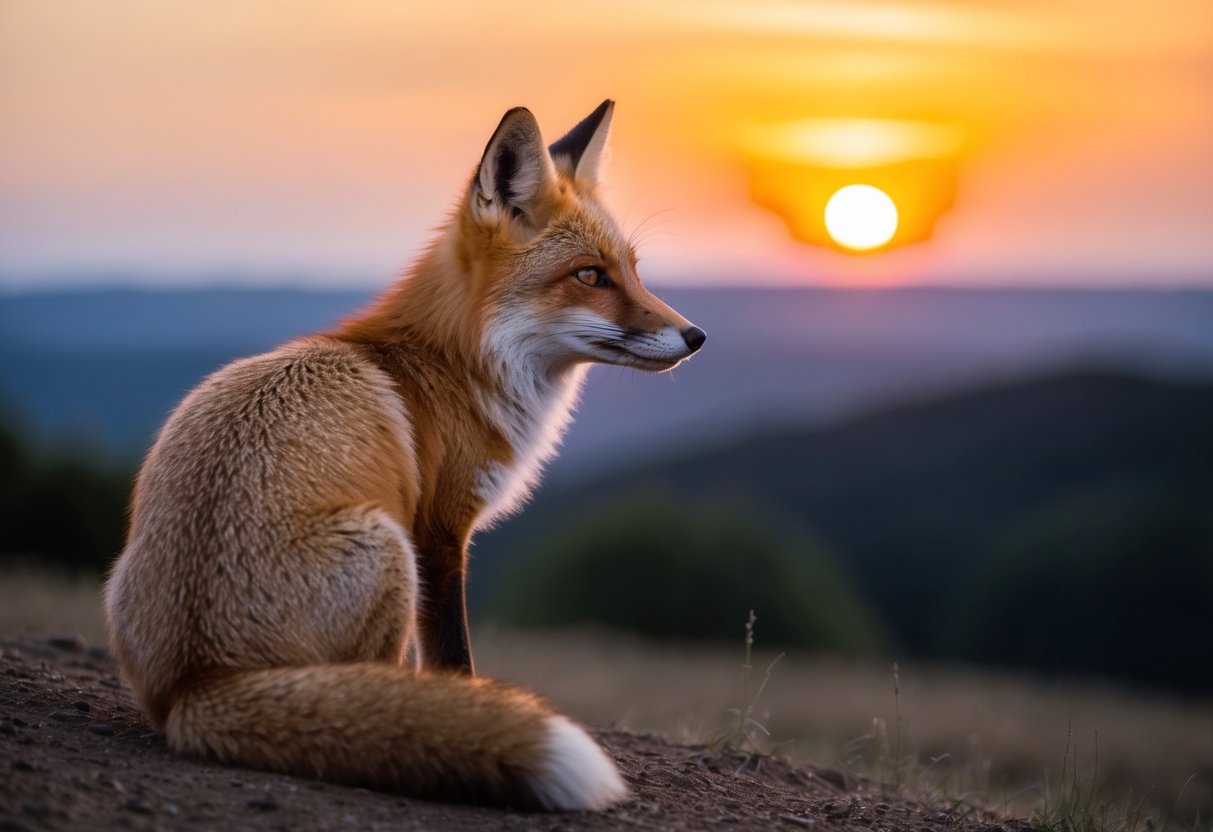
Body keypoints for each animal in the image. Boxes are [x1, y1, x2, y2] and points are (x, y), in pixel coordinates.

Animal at [103, 100, 705, 811]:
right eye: (590, 275)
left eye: (634, 270)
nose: (696, 336)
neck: (455, 363)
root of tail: (195, 680)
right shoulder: (440, 532)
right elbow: (453, 659)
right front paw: (464, 715)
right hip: (389, 552)